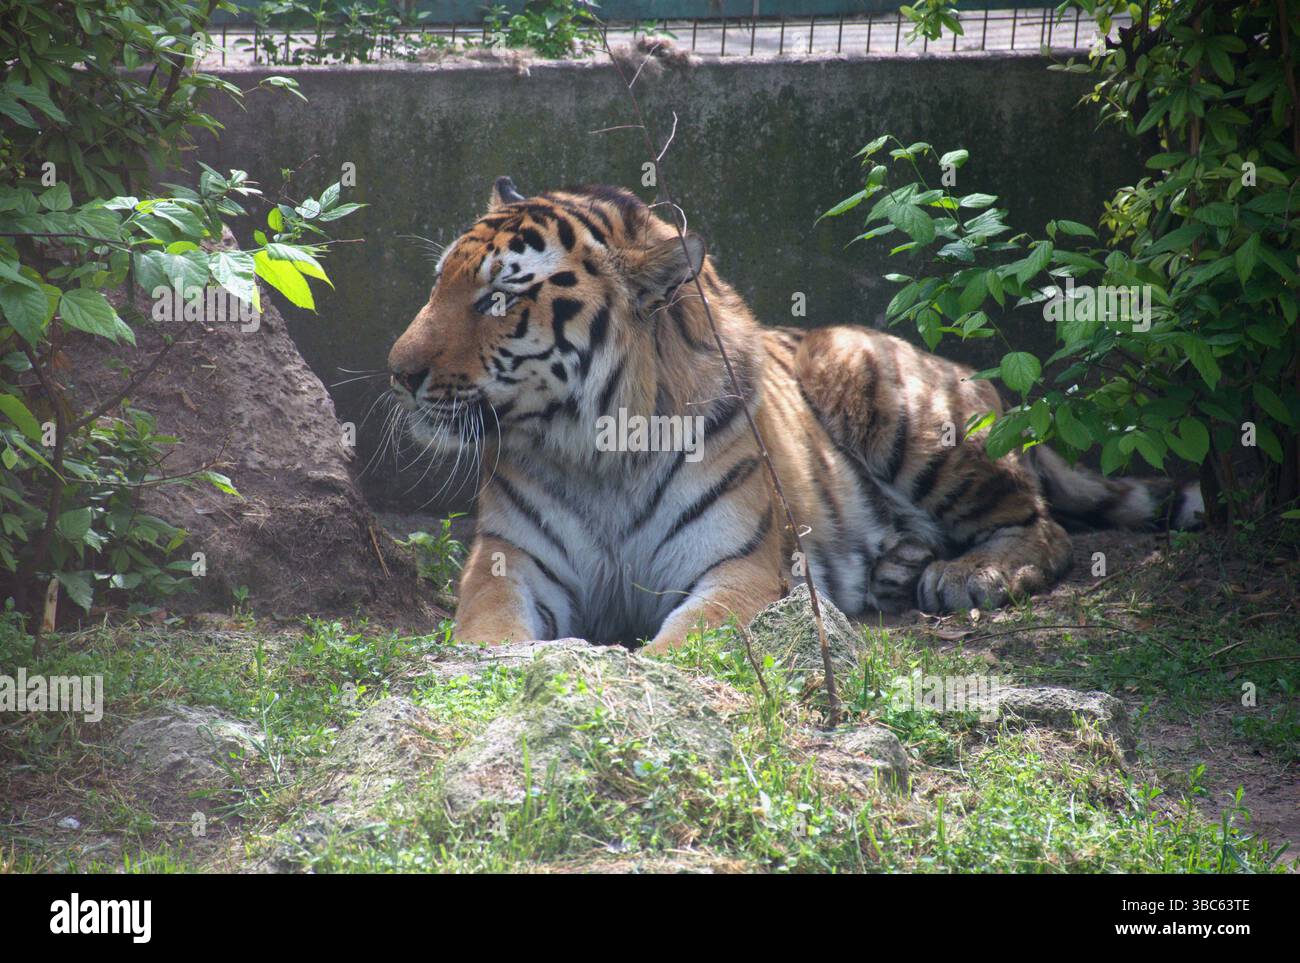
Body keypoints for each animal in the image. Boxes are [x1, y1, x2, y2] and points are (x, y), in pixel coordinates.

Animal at [387, 178, 1203, 652]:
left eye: (498, 298)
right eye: (439, 283)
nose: (397, 373)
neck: (596, 452)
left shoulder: (735, 567)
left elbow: (678, 648)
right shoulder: (507, 560)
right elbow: (489, 636)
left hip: (880, 388)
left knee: (1047, 524)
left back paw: (966, 575)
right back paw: (898, 563)